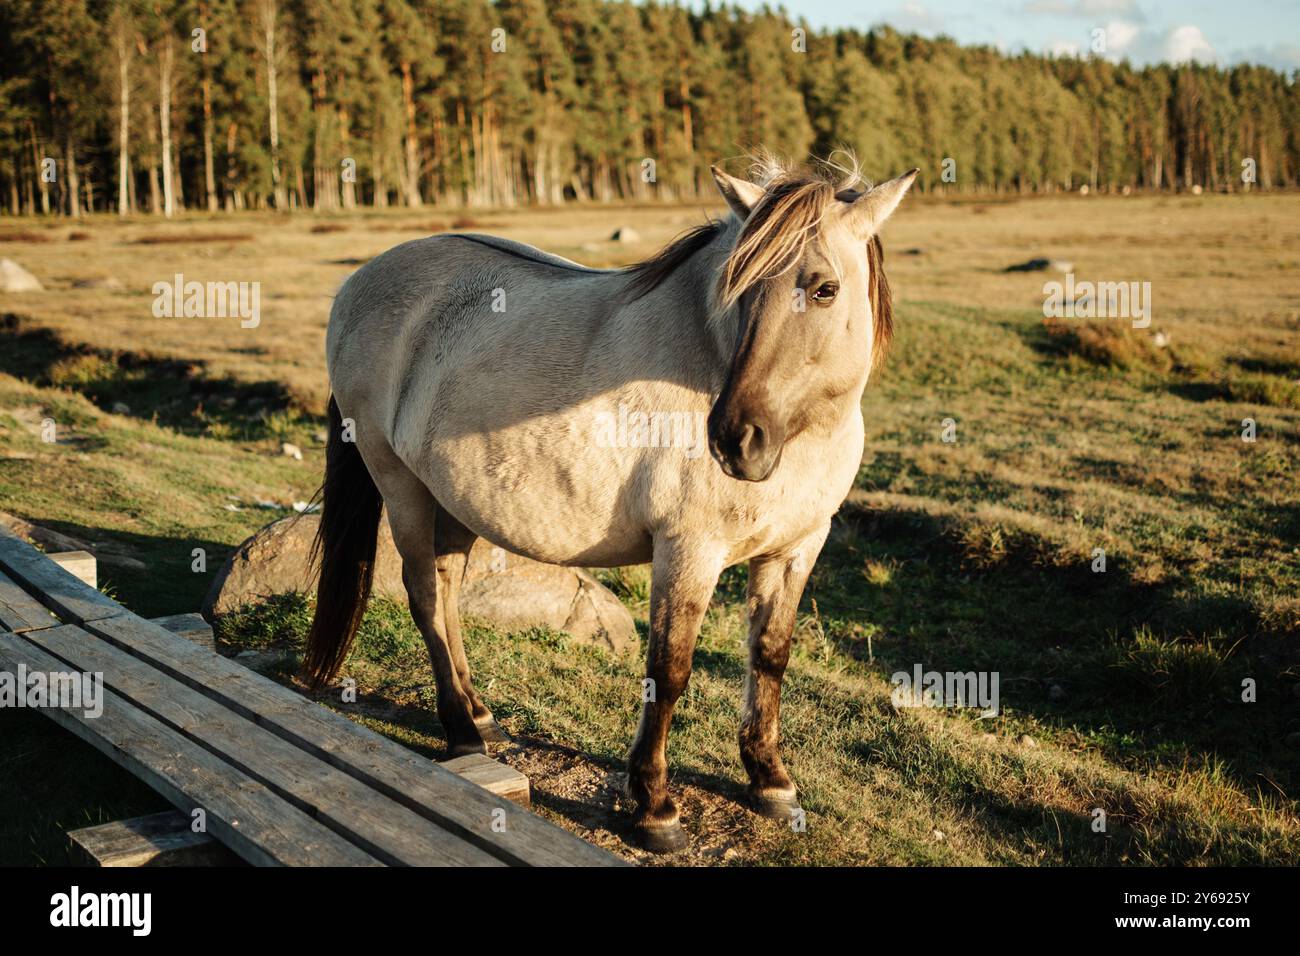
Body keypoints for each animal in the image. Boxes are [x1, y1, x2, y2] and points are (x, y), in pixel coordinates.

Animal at [305, 156, 917, 852]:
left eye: (824, 290)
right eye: (739, 289)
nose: (734, 439)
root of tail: (359, 282)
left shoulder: (796, 550)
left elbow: (770, 656)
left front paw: (770, 781)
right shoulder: (687, 552)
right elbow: (669, 670)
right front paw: (654, 806)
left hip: (451, 501)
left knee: (446, 587)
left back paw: (480, 717)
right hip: (399, 483)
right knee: (425, 594)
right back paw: (459, 729)